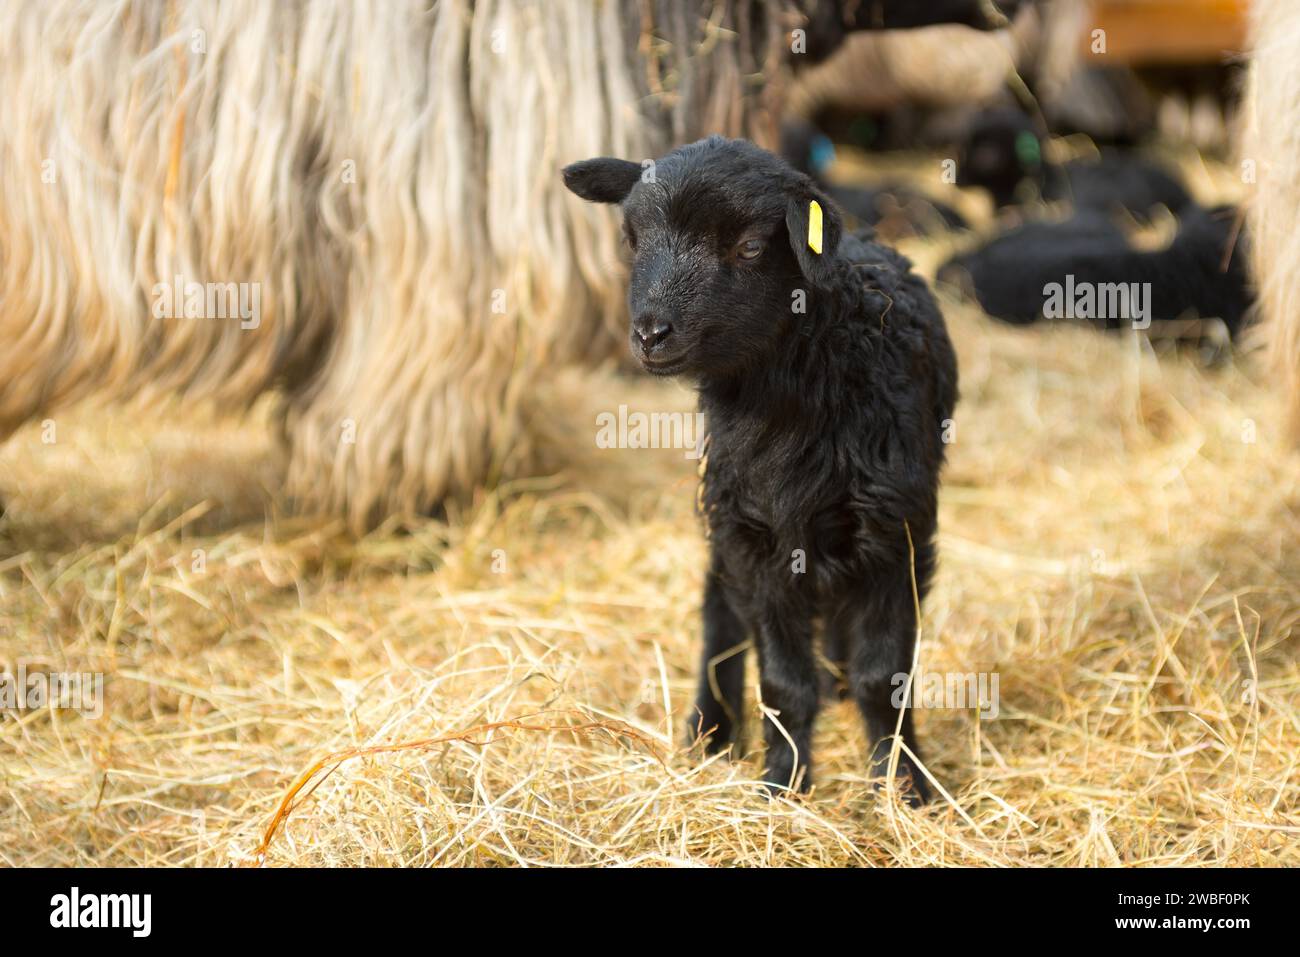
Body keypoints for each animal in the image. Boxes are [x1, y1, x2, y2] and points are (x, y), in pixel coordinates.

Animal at [563, 136, 958, 802]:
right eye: (633, 239)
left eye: (749, 246)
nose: (651, 334)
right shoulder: (754, 536)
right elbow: (781, 681)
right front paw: (782, 785)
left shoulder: (895, 533)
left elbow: (884, 676)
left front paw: (903, 788)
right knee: (720, 615)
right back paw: (710, 730)